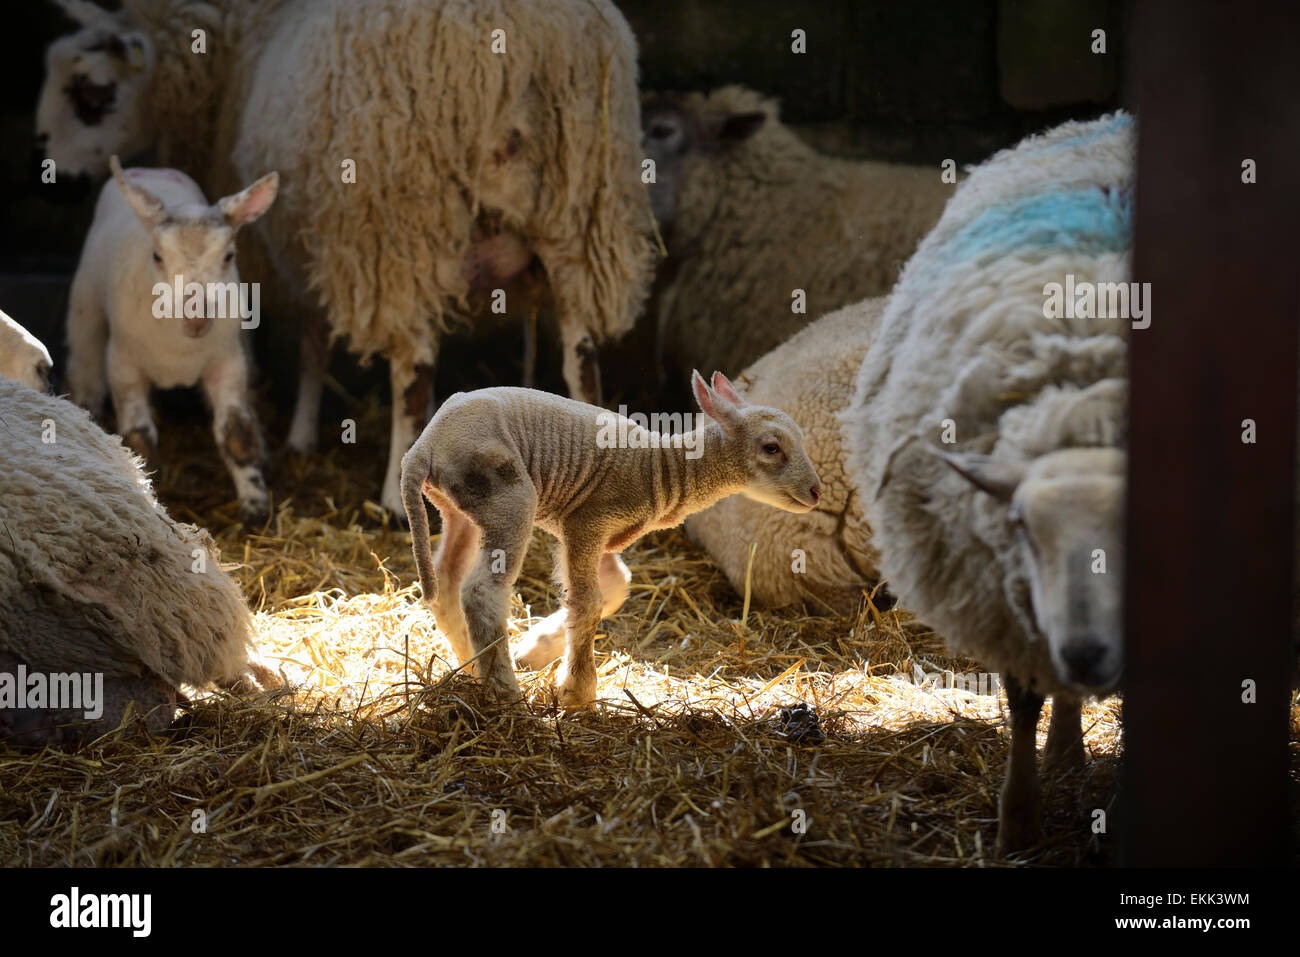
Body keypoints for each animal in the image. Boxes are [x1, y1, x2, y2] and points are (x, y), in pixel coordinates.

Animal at [65, 156, 278, 521]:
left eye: (229, 256)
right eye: (157, 256)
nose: (196, 318)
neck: (179, 347)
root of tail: (151, 170)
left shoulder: (227, 362)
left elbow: (236, 433)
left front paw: (256, 507)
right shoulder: (124, 365)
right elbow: (139, 439)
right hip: (85, 304)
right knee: (86, 371)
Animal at [400, 371, 823, 709]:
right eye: (771, 447)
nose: (817, 492)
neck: (661, 469)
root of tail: (424, 446)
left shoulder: (598, 533)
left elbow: (614, 587)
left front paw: (537, 649)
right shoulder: (587, 520)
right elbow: (588, 603)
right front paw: (577, 693)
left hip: (460, 508)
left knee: (446, 581)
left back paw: (472, 668)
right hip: (505, 494)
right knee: (481, 592)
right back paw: (506, 693)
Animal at [841, 111, 1136, 853]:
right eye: (1025, 529)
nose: (1085, 653)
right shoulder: (997, 593)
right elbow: (1025, 700)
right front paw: (1020, 821)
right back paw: (1065, 755)